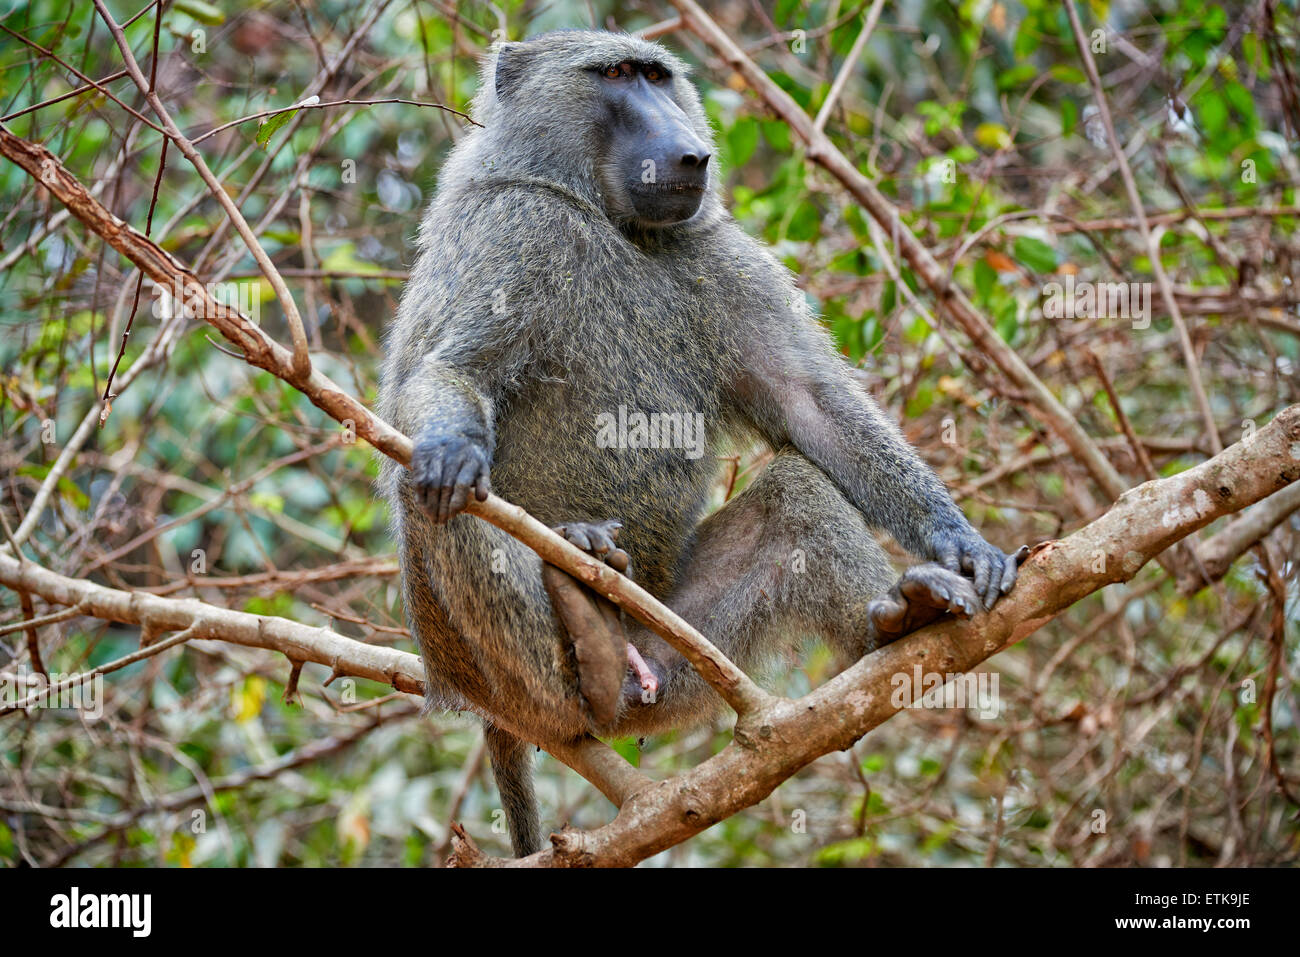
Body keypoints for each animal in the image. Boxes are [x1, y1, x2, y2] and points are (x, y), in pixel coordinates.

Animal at [377, 30, 1023, 858]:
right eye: (618, 75)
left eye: (659, 77)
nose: (690, 153)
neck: (609, 219)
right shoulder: (511, 226)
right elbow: (451, 375)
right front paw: (448, 449)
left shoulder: (718, 254)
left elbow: (810, 406)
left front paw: (961, 546)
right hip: (508, 672)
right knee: (448, 510)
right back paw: (582, 643)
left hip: (677, 648)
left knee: (797, 495)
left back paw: (899, 616)